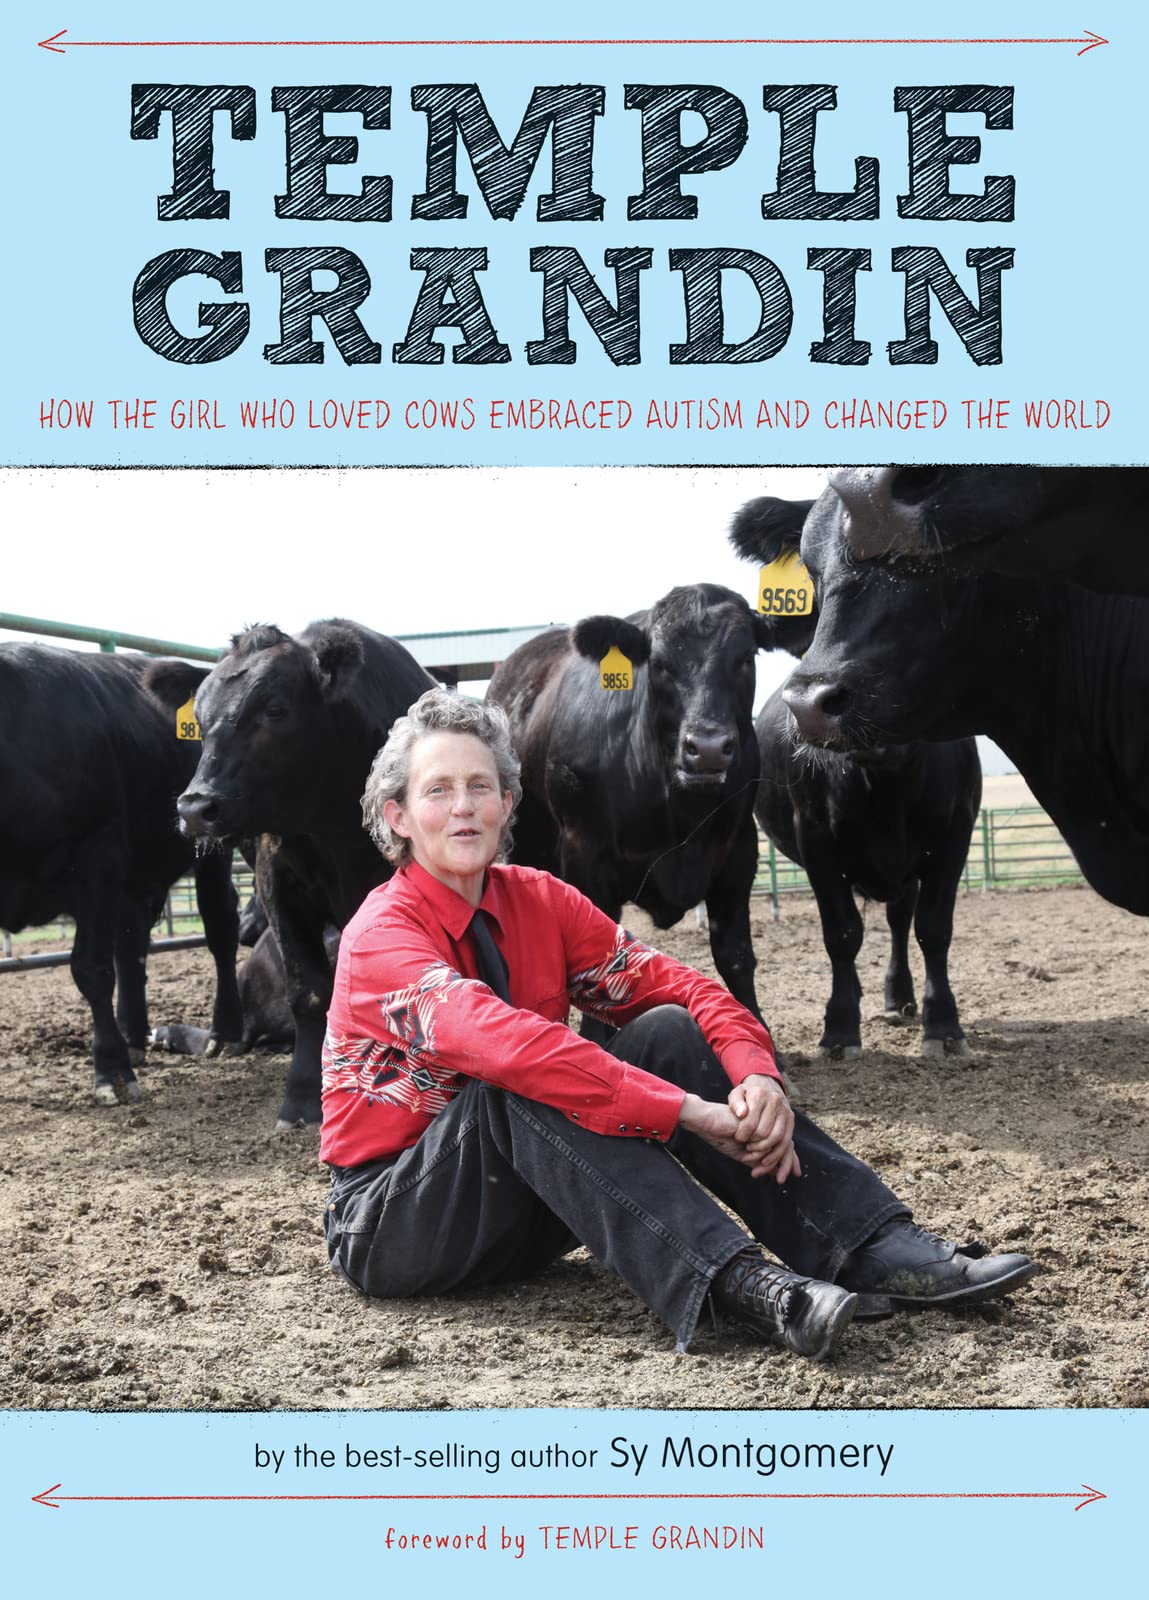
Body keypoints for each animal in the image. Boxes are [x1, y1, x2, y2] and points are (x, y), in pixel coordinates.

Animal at [0, 643, 243, 1103]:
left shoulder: (99, 858)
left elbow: (92, 970)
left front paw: (112, 1071)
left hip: (211, 846)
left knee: (220, 929)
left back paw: (225, 1033)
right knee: (132, 948)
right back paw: (133, 1037)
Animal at [144, 620, 434, 1129]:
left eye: (275, 709)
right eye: (198, 717)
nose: (196, 806)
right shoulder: (277, 888)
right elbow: (311, 993)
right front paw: (302, 1098)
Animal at [487, 584, 772, 1033]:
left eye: (745, 658)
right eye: (660, 663)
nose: (708, 747)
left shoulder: (739, 850)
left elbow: (735, 954)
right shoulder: (584, 853)